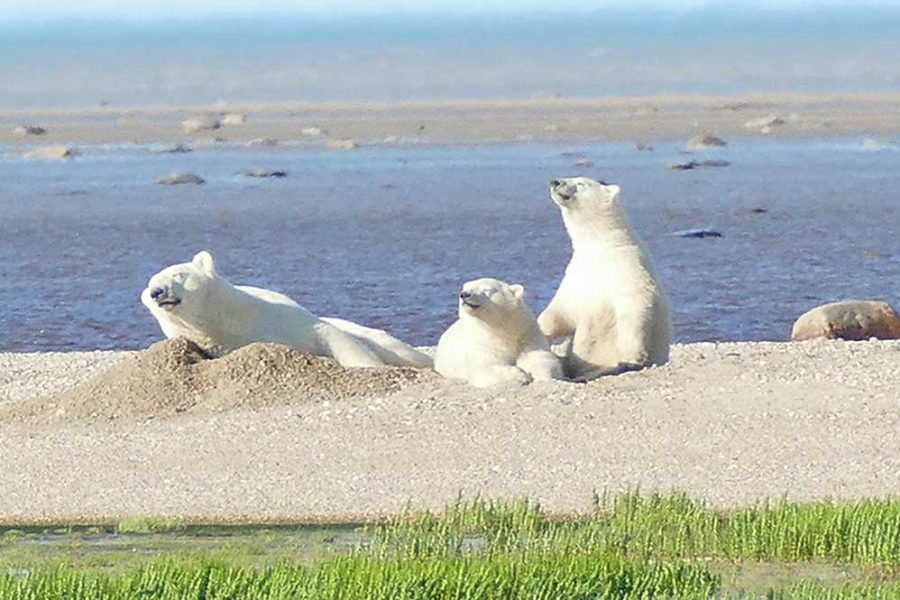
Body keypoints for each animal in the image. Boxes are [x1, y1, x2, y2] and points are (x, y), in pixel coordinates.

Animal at [434, 278, 563, 387]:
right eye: (466, 287)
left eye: (486, 290)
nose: (464, 294)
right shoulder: (482, 342)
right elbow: (486, 367)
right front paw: (521, 375)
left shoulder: (528, 335)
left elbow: (538, 356)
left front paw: (543, 375)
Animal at [538, 177, 670, 381]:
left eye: (581, 183)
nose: (555, 181)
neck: (602, 245)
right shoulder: (577, 274)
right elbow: (561, 309)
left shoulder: (626, 269)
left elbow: (635, 306)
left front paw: (633, 356)